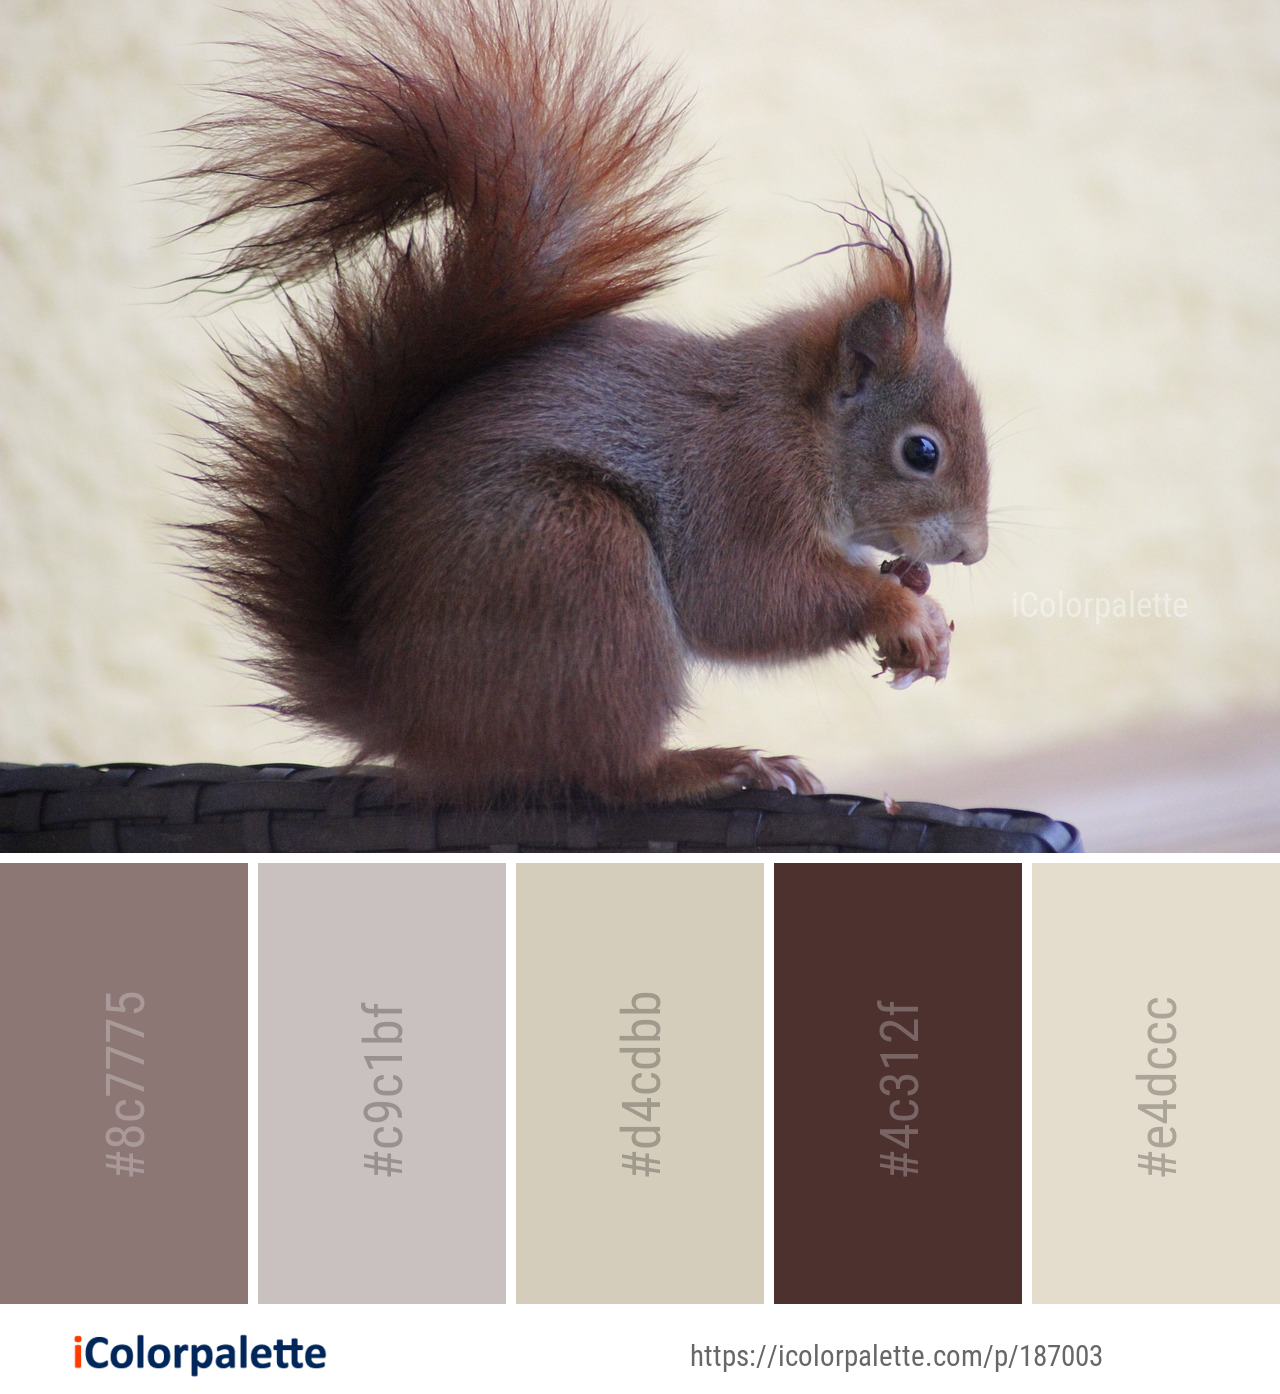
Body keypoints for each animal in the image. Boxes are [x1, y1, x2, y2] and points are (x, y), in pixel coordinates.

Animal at [180, 0, 989, 806]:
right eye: (921, 451)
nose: (974, 552)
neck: (806, 425)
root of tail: (411, 717)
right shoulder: (743, 484)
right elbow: (748, 597)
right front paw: (899, 608)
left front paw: (916, 592)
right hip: (581, 566)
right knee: (603, 769)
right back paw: (712, 765)